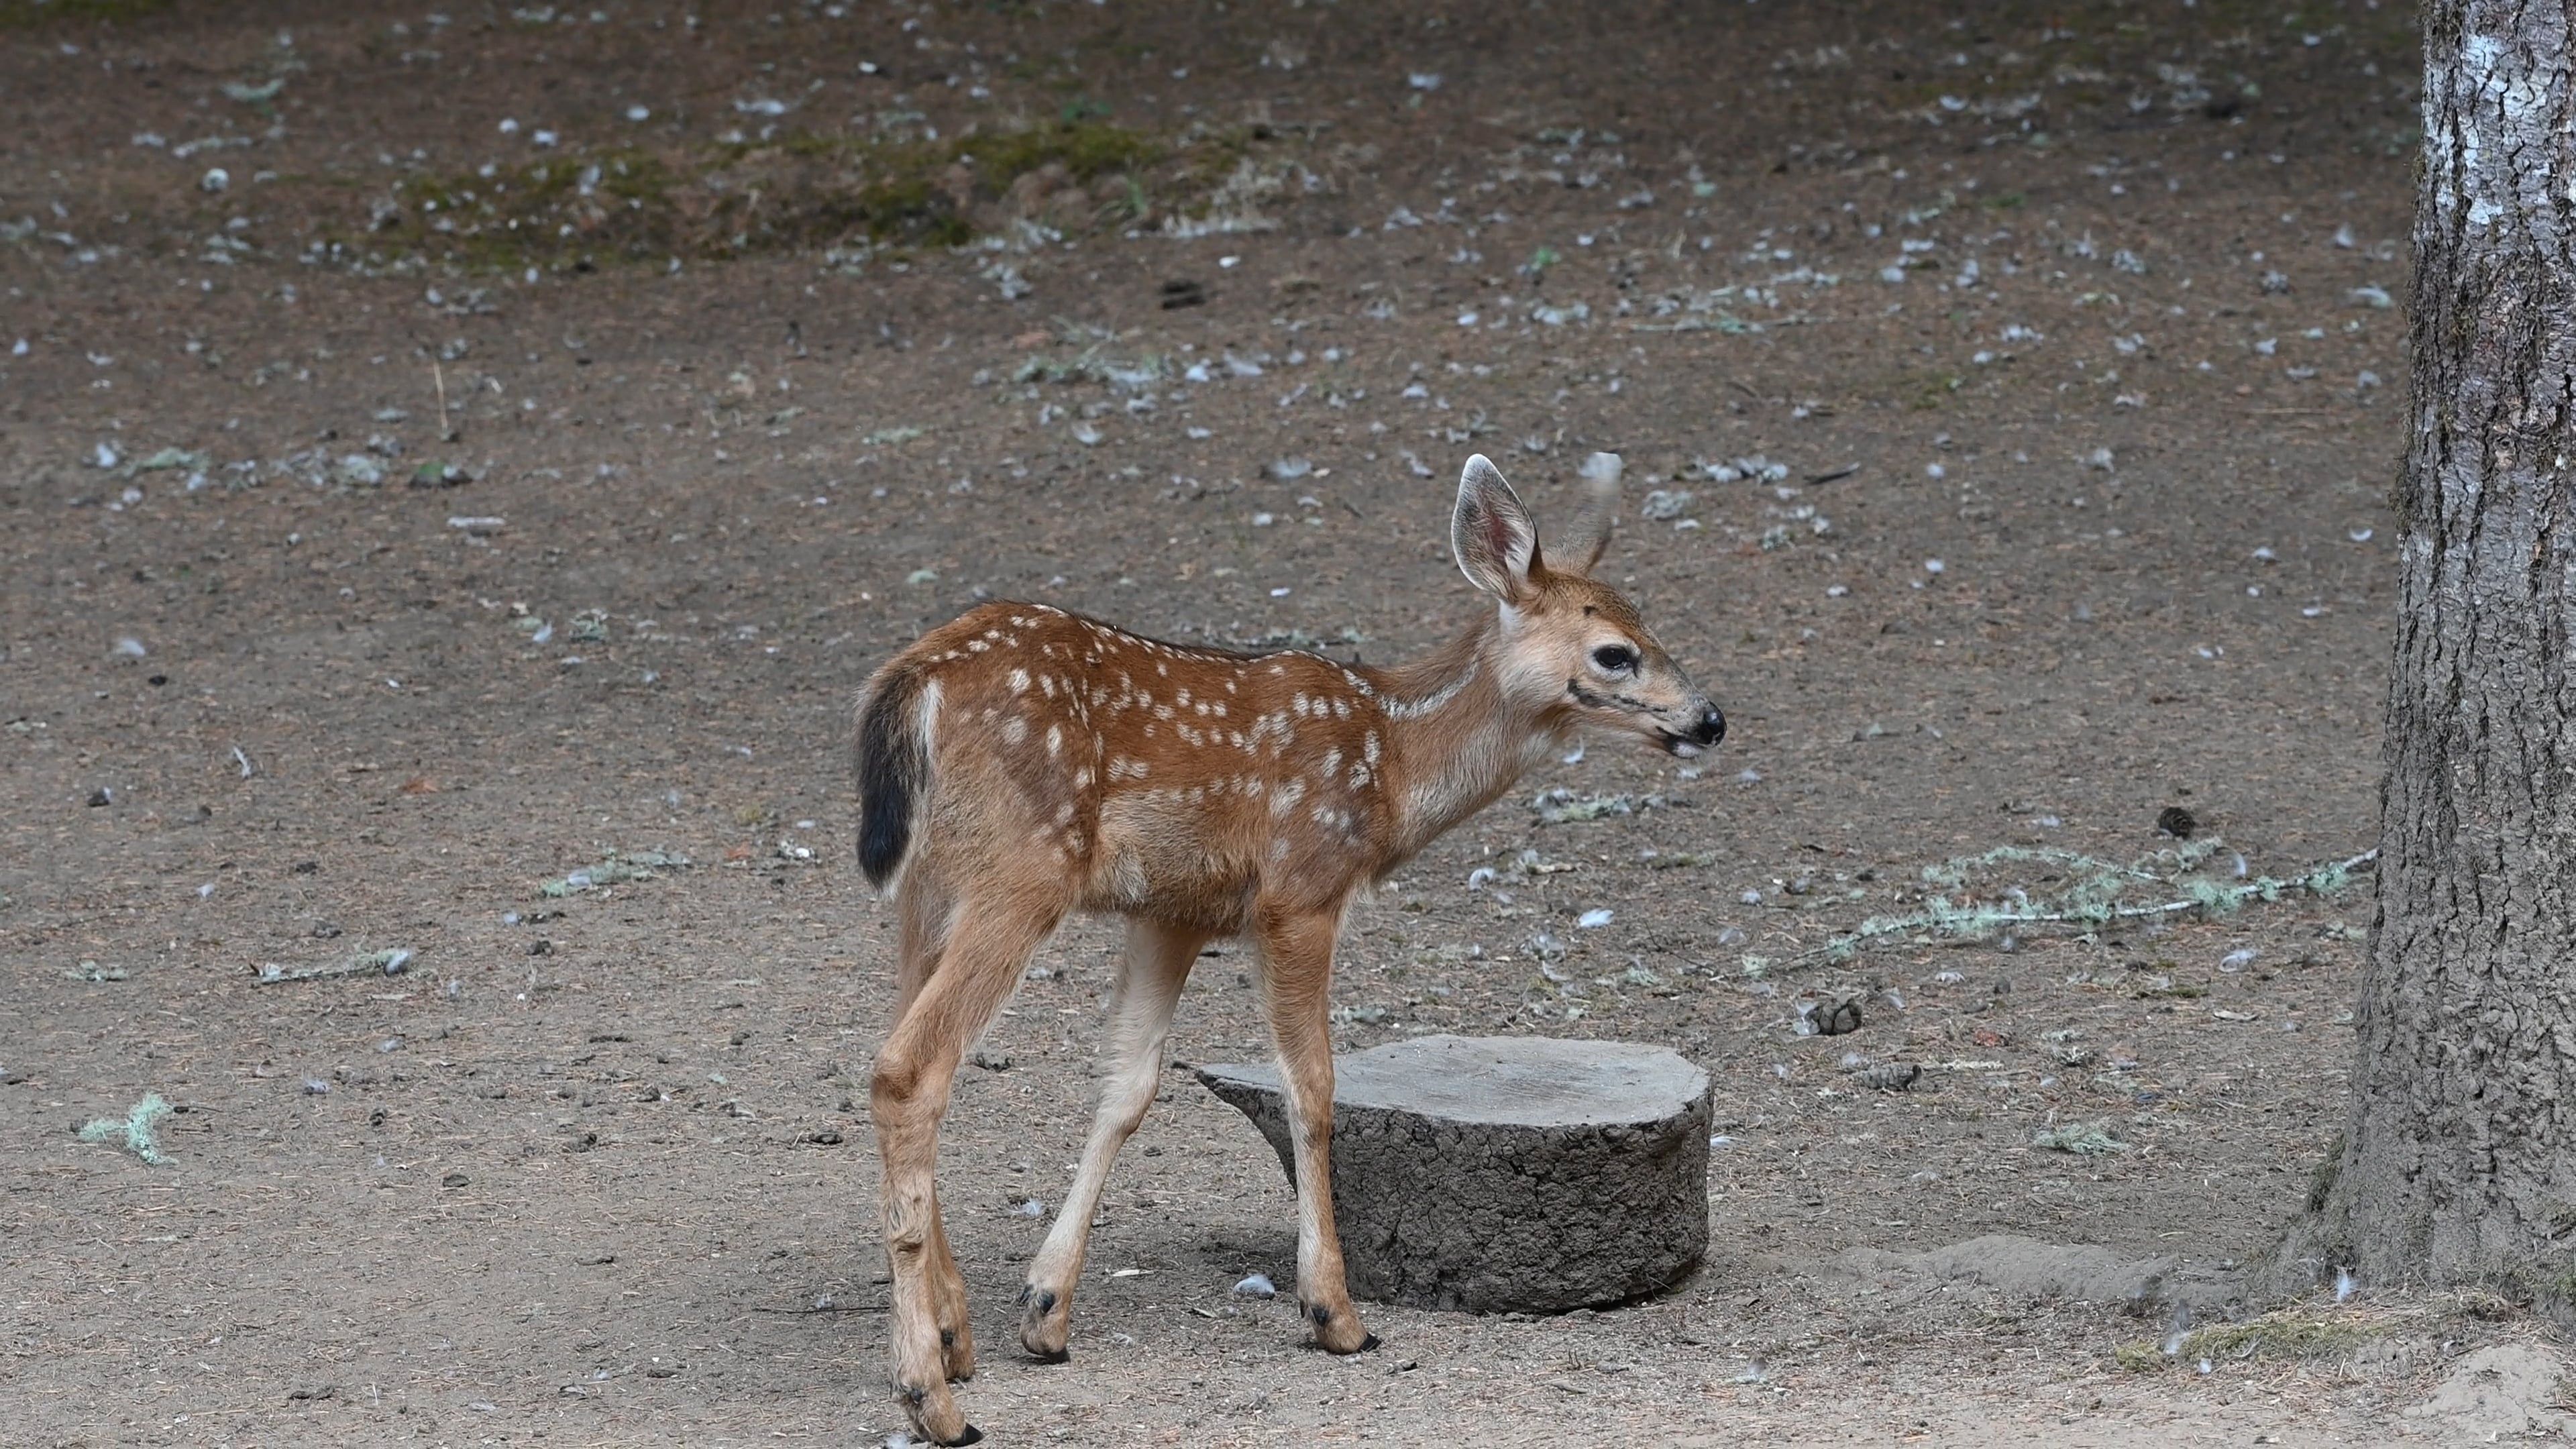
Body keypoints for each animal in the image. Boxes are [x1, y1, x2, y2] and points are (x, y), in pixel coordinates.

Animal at [851, 452, 1725, 1444]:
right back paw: (932, 1397)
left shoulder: (1173, 910)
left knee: (898, 1056)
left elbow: (1128, 1086)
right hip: (1021, 866)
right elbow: (1311, 1088)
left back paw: (955, 1336)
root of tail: (911, 682)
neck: (1391, 763)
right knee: (909, 1069)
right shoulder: (1301, 890)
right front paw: (1335, 1312)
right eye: (1617, 650)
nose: (1709, 719)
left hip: (928, 886)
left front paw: (1046, 1313)